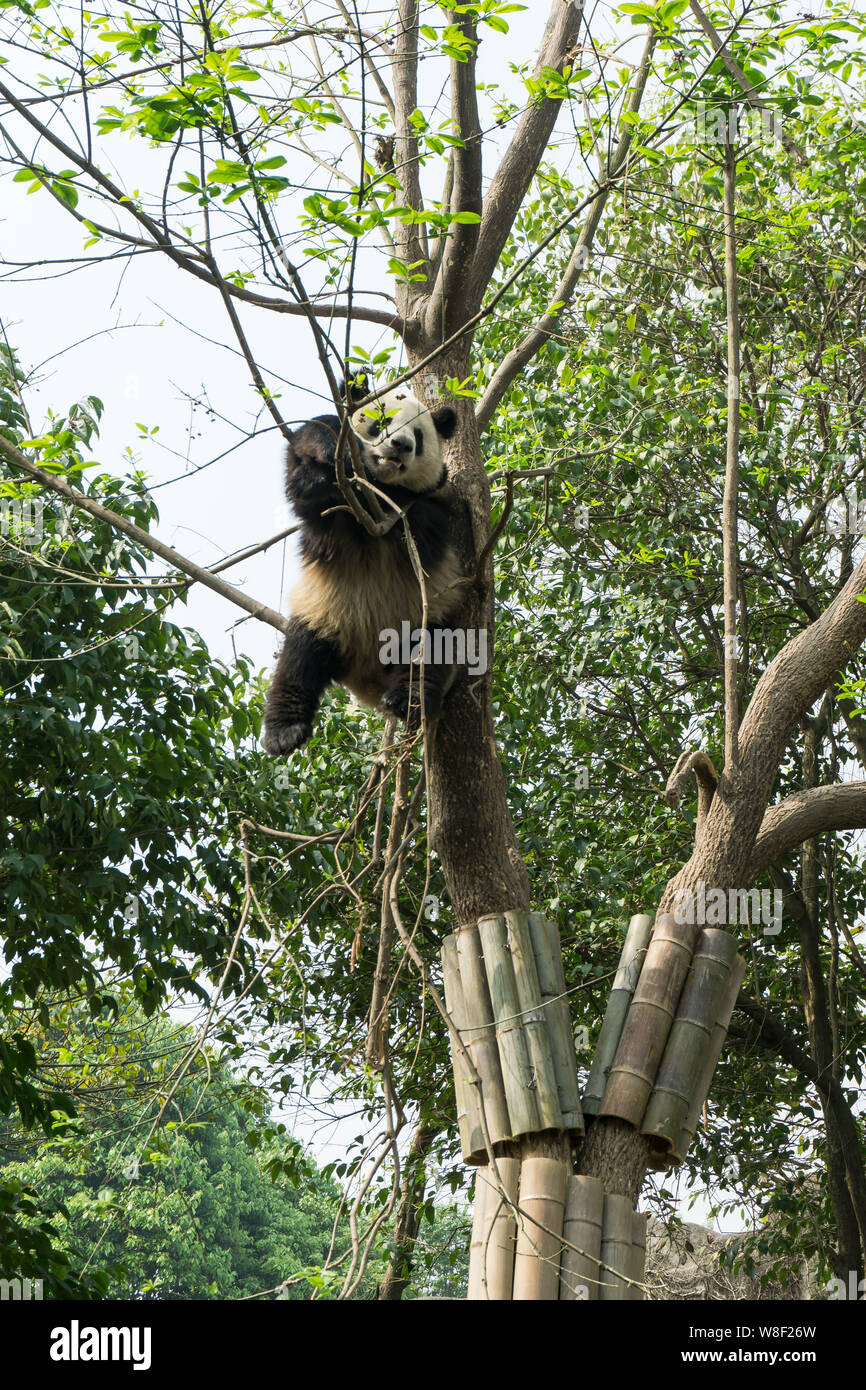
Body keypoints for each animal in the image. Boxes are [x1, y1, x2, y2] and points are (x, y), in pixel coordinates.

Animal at [262, 379, 464, 756]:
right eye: (382, 420)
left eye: (419, 435)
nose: (401, 445)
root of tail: (366, 677)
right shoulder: (325, 513)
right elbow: (306, 458)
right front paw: (332, 455)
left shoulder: (433, 501)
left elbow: (426, 517)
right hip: (322, 614)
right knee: (298, 662)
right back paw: (284, 731)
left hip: (428, 614)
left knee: (431, 655)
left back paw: (406, 699)